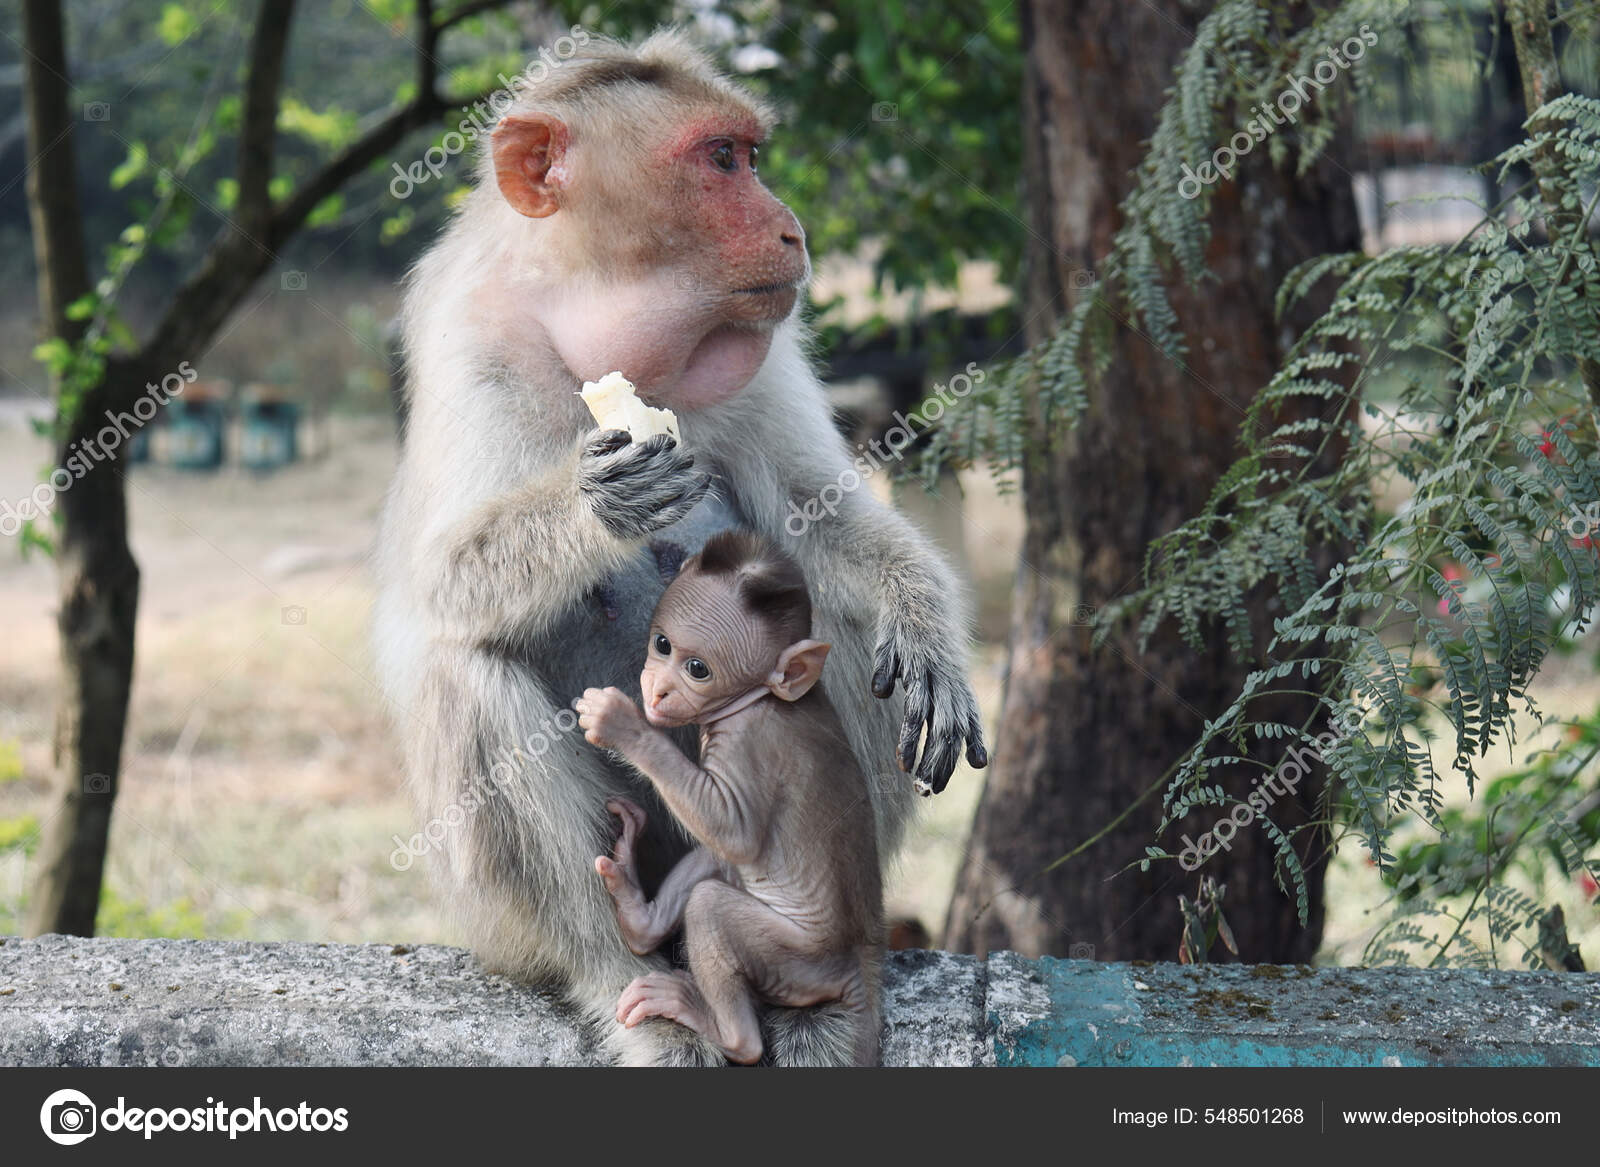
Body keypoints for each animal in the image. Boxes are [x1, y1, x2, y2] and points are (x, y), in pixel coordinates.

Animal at [576, 530, 884, 1066]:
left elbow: (732, 833)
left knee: (712, 904)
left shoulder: (746, 744)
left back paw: (725, 1032)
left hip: (798, 963)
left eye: (698, 669)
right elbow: (723, 845)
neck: (757, 699)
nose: (657, 690)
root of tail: (854, 963)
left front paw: (623, 726)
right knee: (715, 866)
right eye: (662, 644)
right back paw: (640, 922)